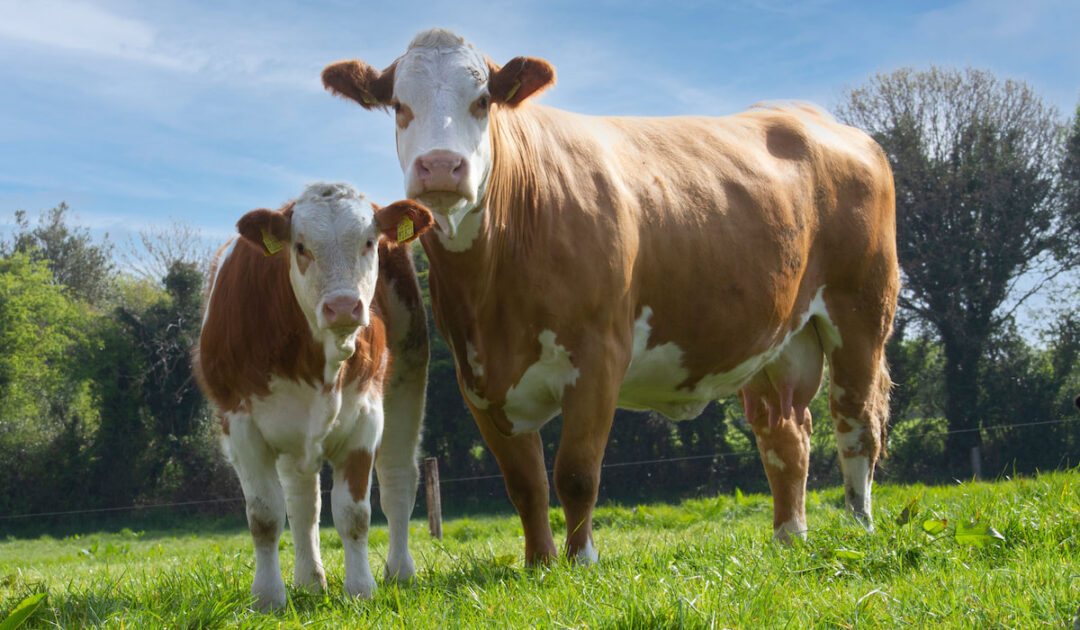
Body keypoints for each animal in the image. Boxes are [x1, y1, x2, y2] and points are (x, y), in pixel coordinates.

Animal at [193, 182, 432, 609]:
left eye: (369, 241)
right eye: (300, 246)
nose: (343, 306)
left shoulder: (365, 418)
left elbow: (355, 513)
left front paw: (361, 589)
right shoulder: (241, 424)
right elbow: (266, 516)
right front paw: (268, 597)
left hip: (407, 379)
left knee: (397, 481)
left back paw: (400, 573)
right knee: (302, 502)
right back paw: (309, 581)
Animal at [322, 29, 899, 565]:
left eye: (482, 100)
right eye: (400, 105)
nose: (441, 166)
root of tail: (811, 115)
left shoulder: (599, 355)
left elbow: (575, 473)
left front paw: (581, 560)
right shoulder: (477, 378)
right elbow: (525, 483)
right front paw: (539, 563)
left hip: (861, 312)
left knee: (856, 421)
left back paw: (859, 528)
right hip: (775, 339)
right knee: (785, 434)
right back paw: (789, 536)